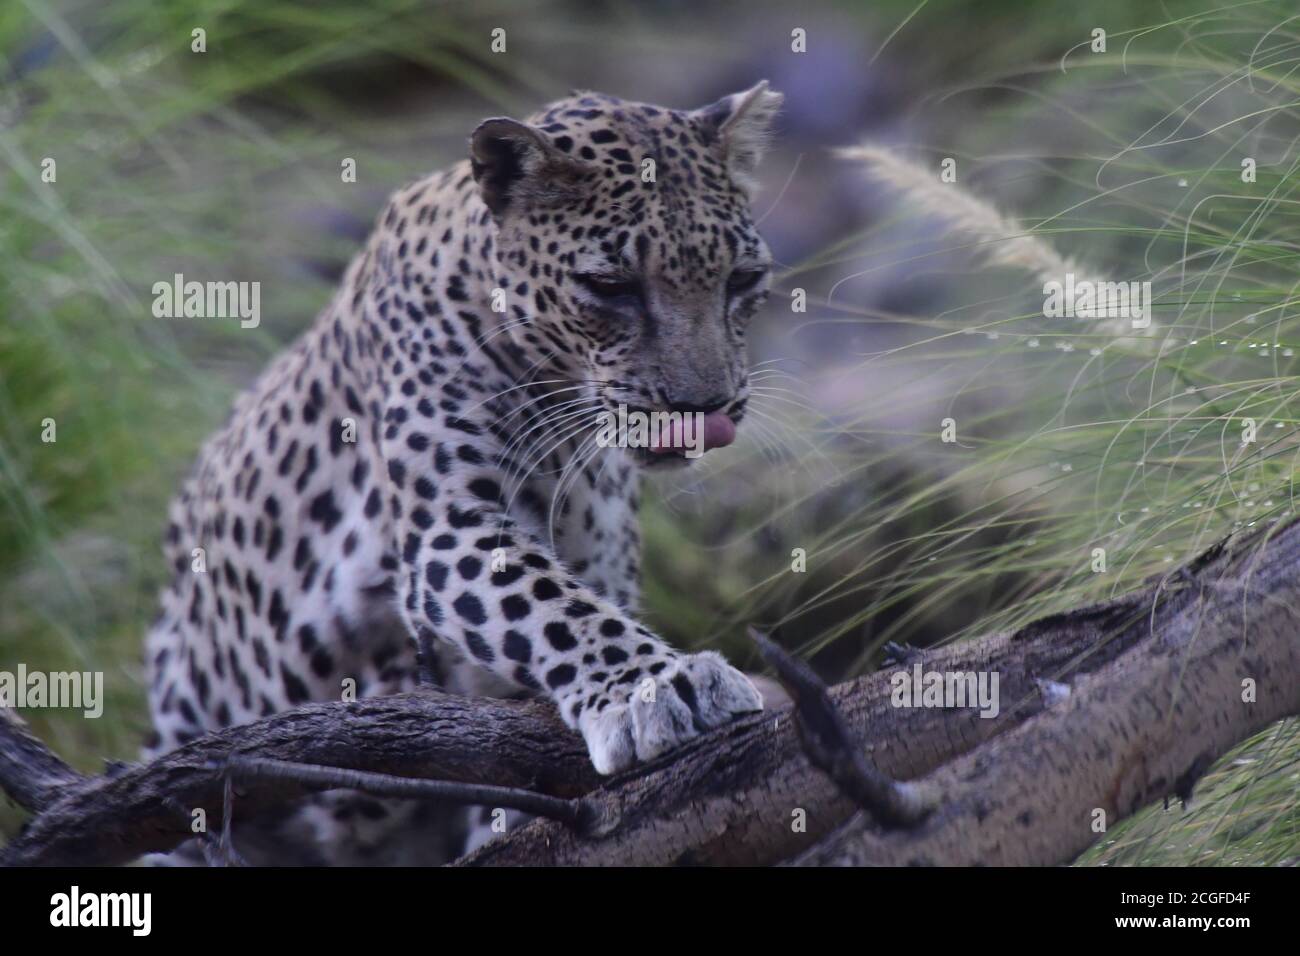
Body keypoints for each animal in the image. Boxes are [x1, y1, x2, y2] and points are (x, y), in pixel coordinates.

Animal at [147, 80, 785, 858]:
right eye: (610, 286)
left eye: (744, 279)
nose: (707, 407)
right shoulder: (447, 526)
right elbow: (553, 609)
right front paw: (661, 686)